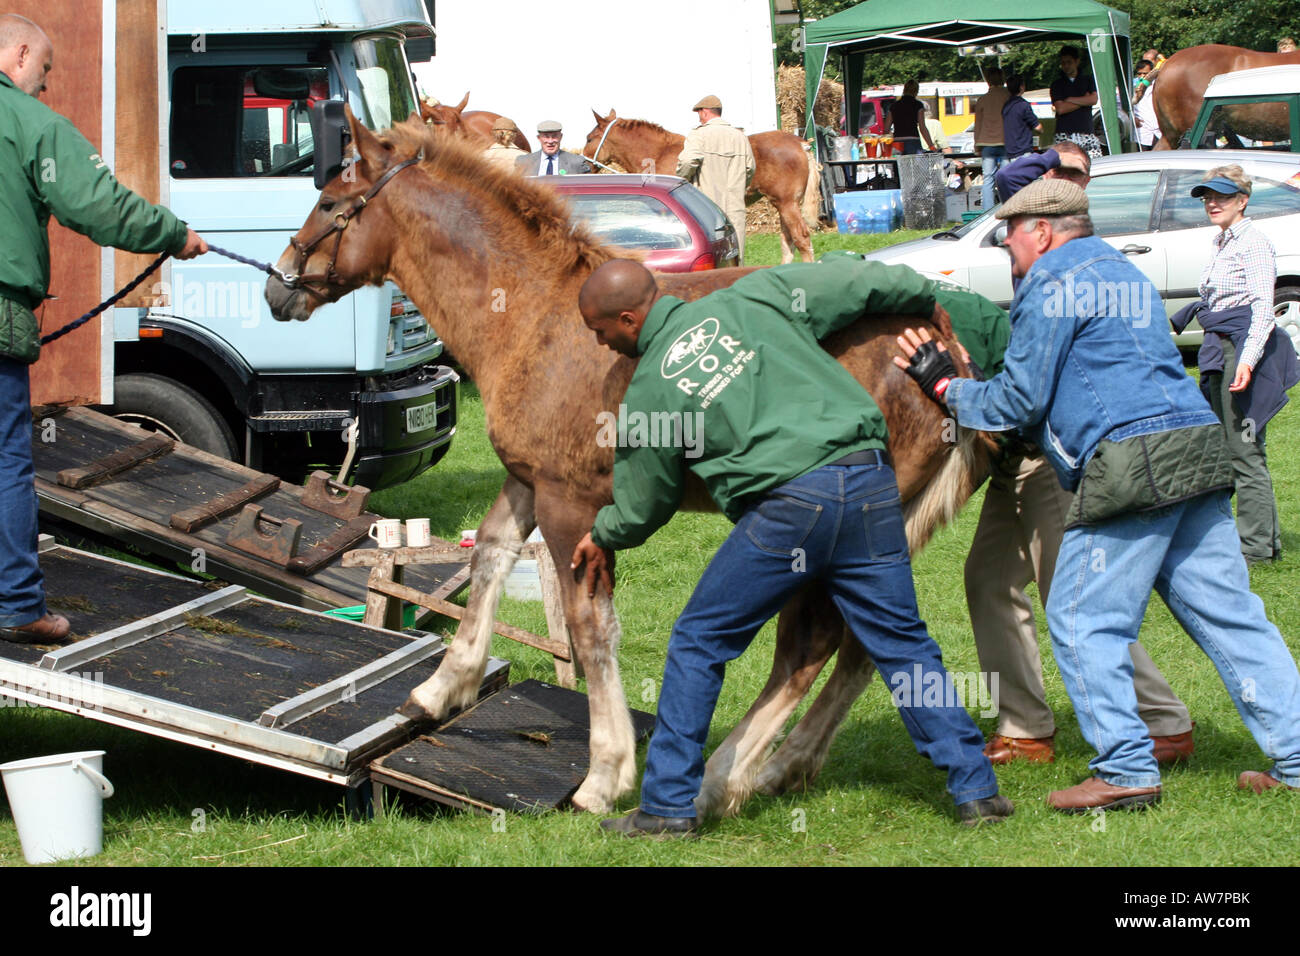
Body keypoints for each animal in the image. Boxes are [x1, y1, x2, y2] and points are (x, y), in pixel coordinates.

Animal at [583, 109, 819, 266]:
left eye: (589, 138)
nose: (584, 165)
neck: (660, 152)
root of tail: (800, 144)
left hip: (787, 203)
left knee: (801, 238)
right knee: (788, 241)